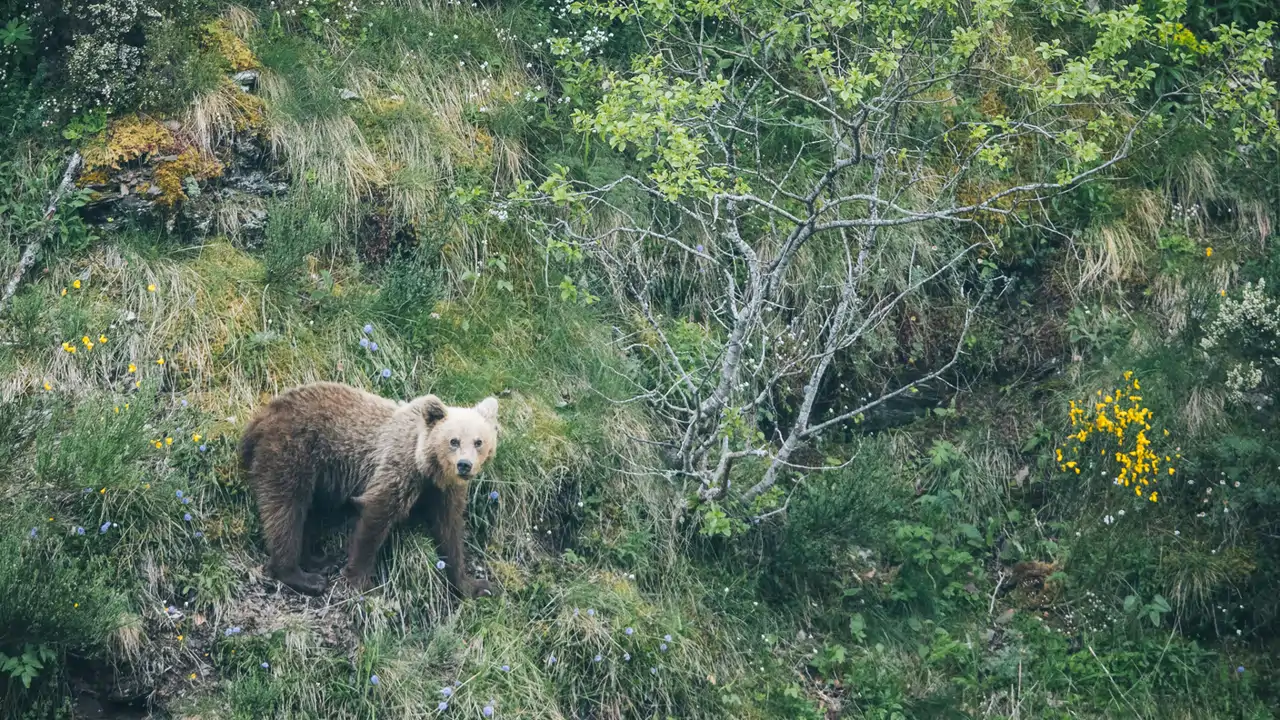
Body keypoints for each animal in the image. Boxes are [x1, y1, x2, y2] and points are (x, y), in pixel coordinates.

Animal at [238, 381, 499, 597]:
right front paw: (360, 580)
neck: (427, 467)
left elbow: (449, 531)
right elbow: (376, 515)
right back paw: (302, 576)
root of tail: (260, 417)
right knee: (286, 511)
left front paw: (474, 585)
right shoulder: (398, 468)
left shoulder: (442, 492)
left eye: (478, 442)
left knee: (307, 514)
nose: (464, 465)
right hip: (291, 451)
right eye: (453, 441)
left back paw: (319, 559)